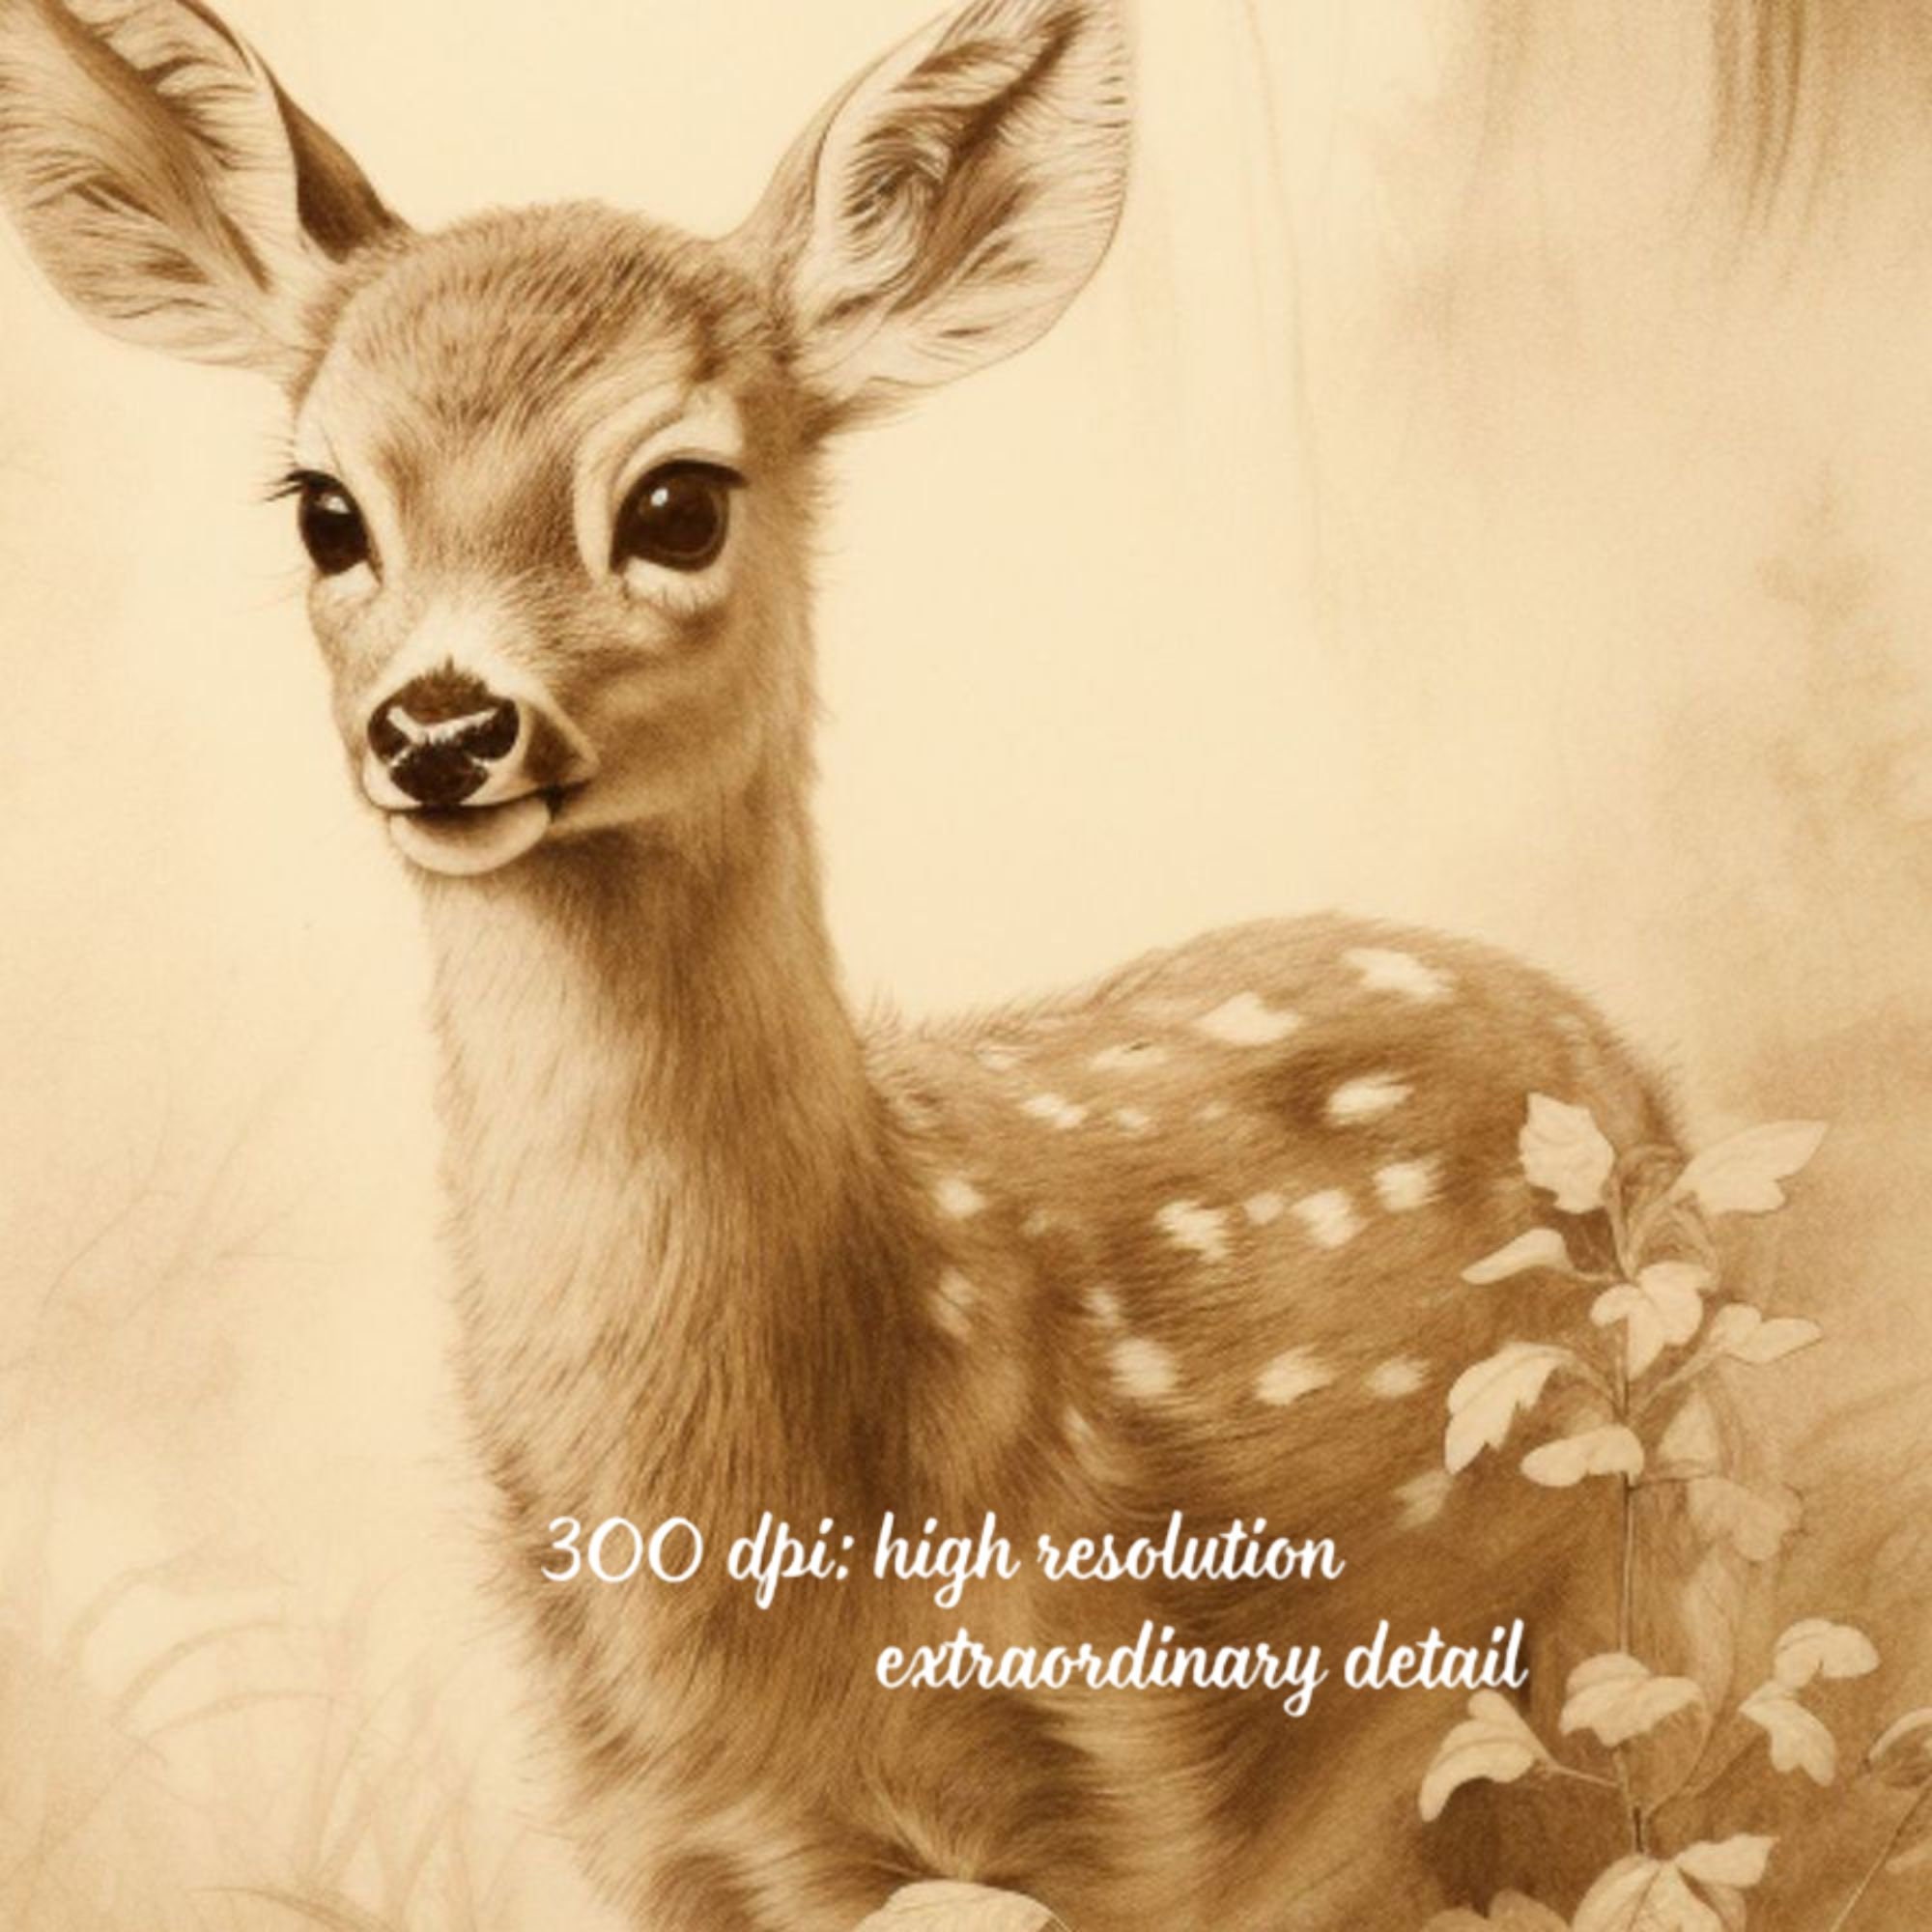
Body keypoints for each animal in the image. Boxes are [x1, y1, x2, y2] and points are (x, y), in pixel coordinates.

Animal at [0, 0, 1694, 1925]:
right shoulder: (662, 1839)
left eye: (677, 499)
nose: (440, 727)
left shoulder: (1135, 1791)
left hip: (1642, 1583)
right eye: (327, 510)